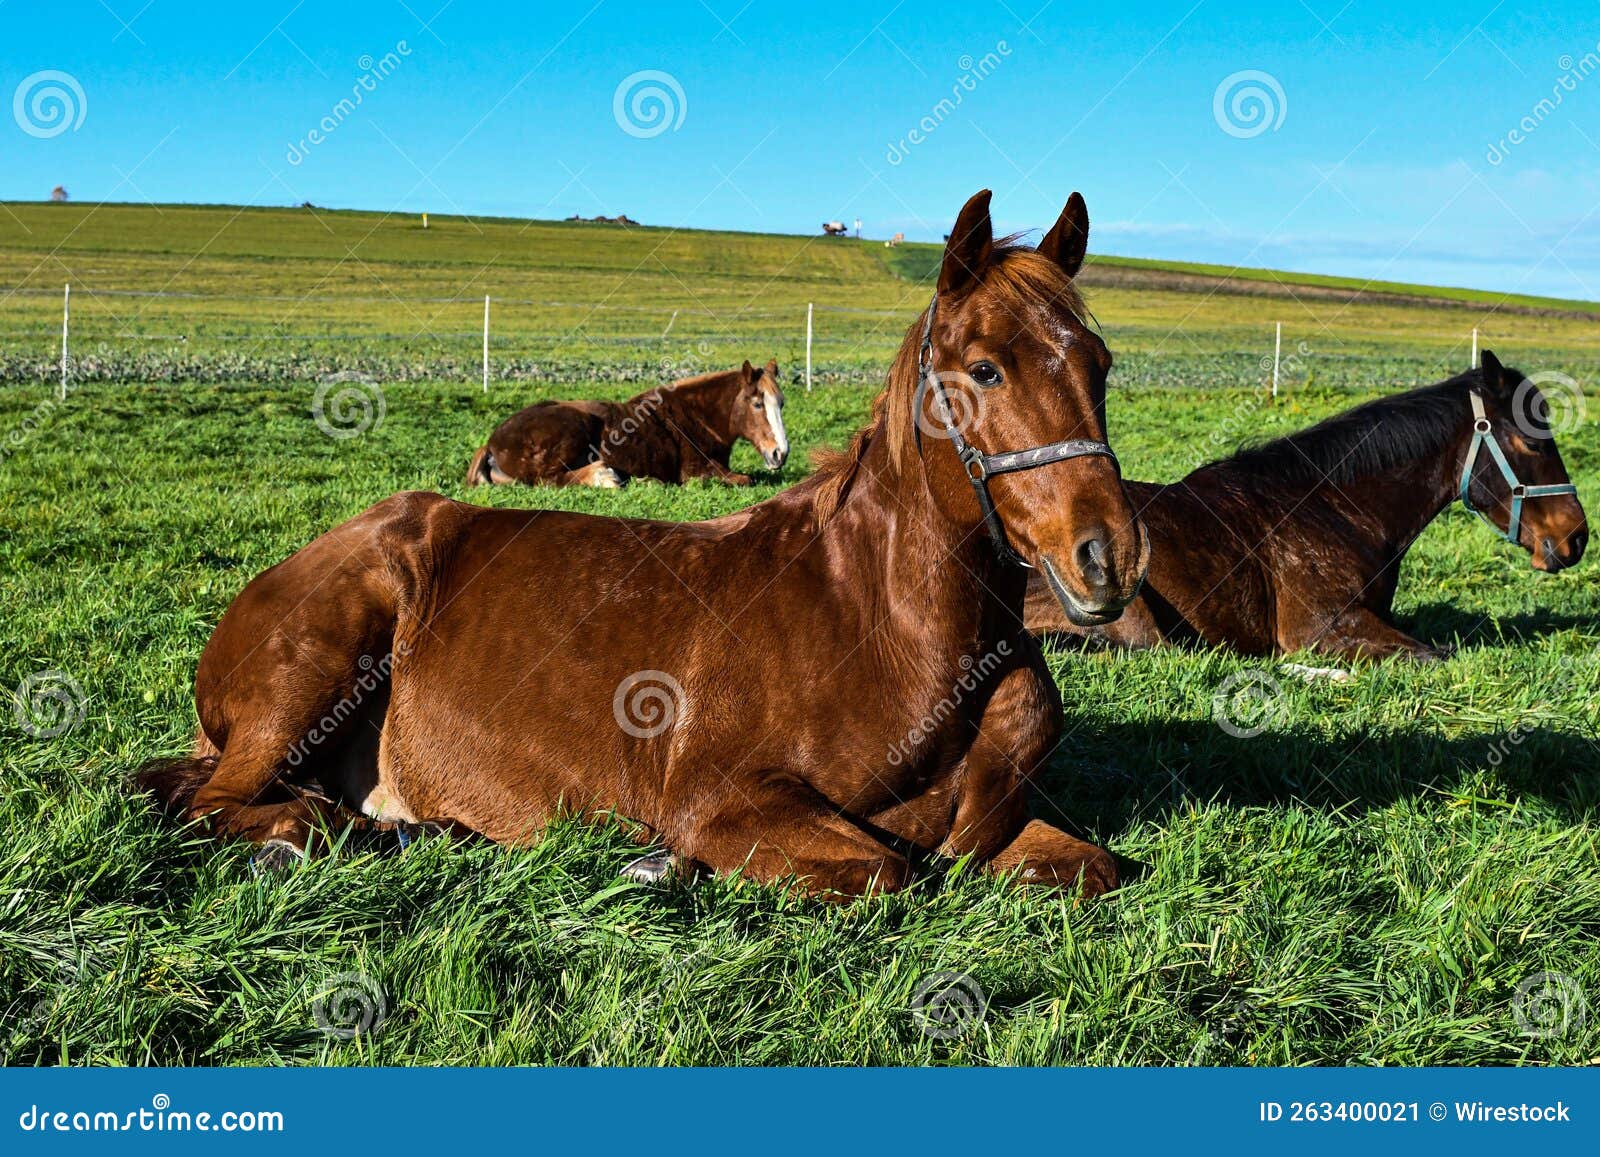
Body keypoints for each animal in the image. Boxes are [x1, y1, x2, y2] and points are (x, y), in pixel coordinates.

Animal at [465, 360, 788, 488]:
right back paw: (605, 476)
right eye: (757, 404)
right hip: (574, 428)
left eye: (781, 403)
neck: (697, 418)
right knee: (549, 479)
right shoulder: (697, 473)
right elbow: (746, 479)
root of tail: (491, 444)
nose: (780, 453)